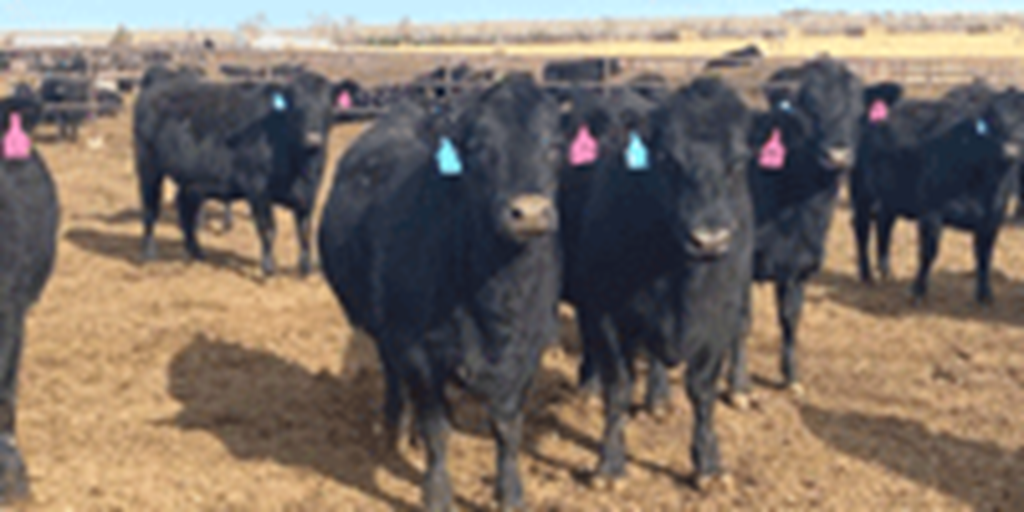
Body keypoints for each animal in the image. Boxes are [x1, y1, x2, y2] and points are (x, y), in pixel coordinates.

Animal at [133, 70, 336, 276]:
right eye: (296, 107)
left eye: (327, 107)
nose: (313, 139)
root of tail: (160, 78)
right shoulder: (257, 189)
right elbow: (268, 228)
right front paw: (268, 267)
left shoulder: (308, 195)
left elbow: (305, 230)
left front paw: (306, 267)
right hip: (148, 168)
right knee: (150, 208)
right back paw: (149, 252)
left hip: (191, 181)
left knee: (185, 210)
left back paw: (196, 251)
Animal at [318, 74, 563, 512]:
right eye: (480, 148)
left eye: (555, 146)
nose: (530, 212)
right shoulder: (416, 349)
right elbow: (437, 428)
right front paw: (436, 492)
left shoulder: (528, 352)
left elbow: (508, 428)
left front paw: (511, 492)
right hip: (386, 331)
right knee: (394, 378)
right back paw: (394, 426)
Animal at [562, 77, 754, 491]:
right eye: (667, 160)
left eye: (738, 161)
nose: (709, 238)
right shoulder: (605, 312)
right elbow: (619, 387)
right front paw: (609, 464)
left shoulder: (720, 320)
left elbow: (702, 392)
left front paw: (708, 464)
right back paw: (590, 387)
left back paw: (659, 399)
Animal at [728, 57, 865, 404]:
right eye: (810, 108)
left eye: (858, 110)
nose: (837, 154)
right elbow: (742, 321)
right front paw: (738, 386)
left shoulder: (798, 266)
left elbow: (790, 319)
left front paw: (791, 377)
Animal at [851, 81, 1024, 303]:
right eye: (993, 122)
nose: (1011, 152)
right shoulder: (931, 212)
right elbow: (929, 251)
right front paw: (918, 290)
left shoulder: (992, 218)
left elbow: (984, 255)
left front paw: (985, 294)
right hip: (861, 190)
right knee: (862, 228)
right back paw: (866, 275)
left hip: (892, 193)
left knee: (884, 223)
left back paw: (886, 270)